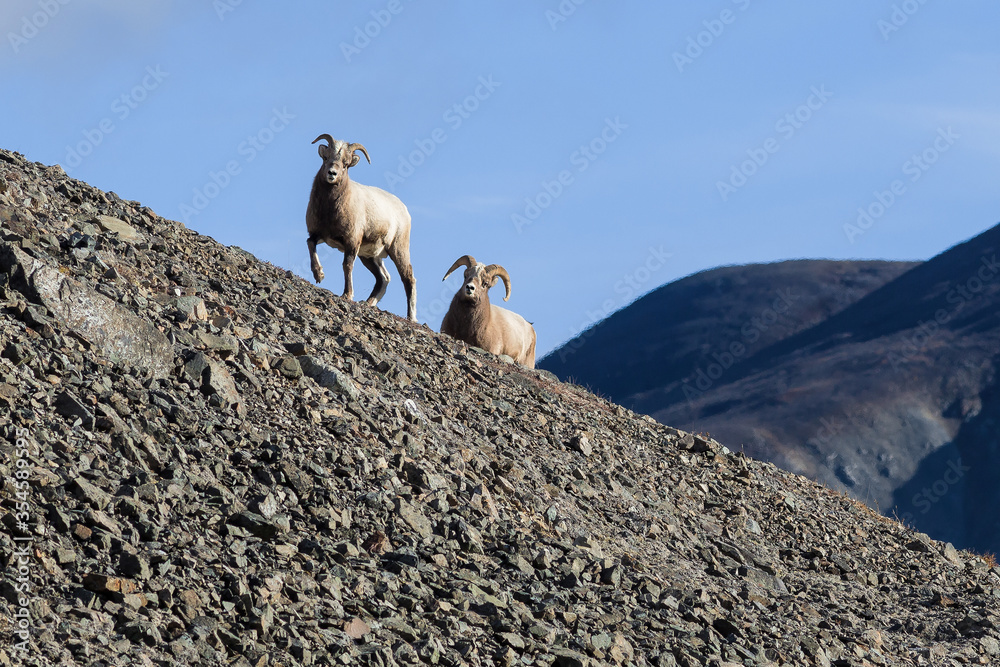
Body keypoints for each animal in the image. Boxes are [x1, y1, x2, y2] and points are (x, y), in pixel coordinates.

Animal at [306, 134, 417, 322]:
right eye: (326, 158)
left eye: (345, 163)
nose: (332, 173)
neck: (329, 209)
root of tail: (404, 210)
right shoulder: (318, 235)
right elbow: (310, 244)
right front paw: (319, 275)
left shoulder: (352, 242)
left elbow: (347, 265)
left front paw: (347, 294)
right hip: (370, 257)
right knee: (383, 278)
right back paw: (368, 302)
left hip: (398, 249)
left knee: (408, 278)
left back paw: (411, 318)